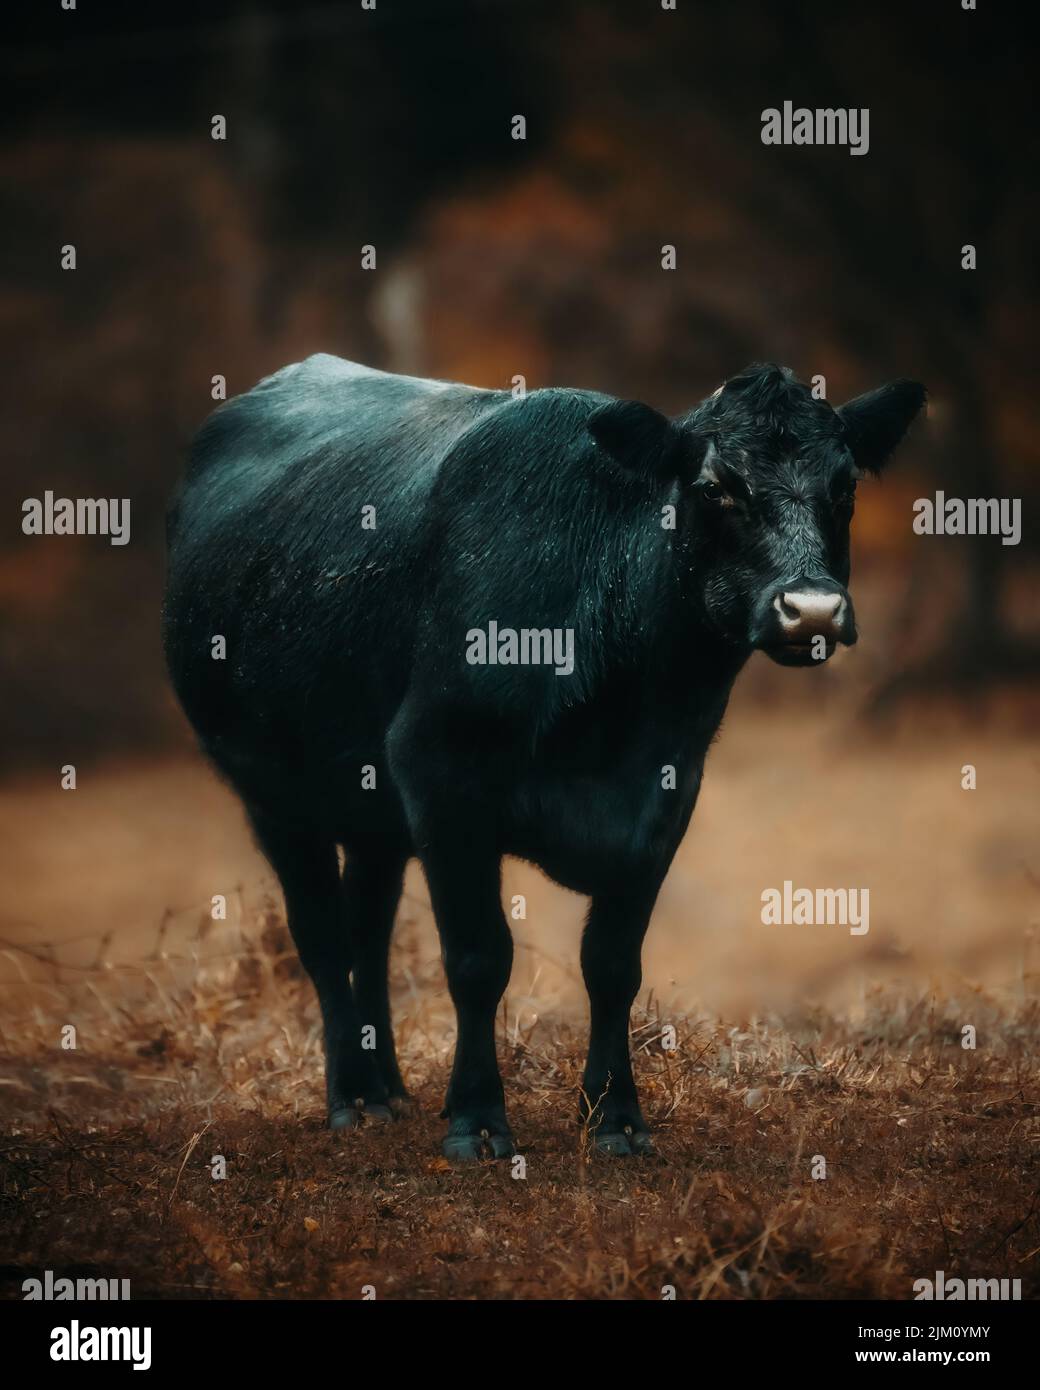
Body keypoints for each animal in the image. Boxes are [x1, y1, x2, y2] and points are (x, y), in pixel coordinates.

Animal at [163, 356, 925, 1159]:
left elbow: (613, 965)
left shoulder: (665, 796)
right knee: (320, 936)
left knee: (367, 931)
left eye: (844, 485)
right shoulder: (439, 771)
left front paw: (615, 1117)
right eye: (716, 486)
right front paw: (476, 1119)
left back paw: (390, 1090)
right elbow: (478, 958)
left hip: (372, 813)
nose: (812, 610)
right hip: (272, 794)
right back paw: (353, 1096)